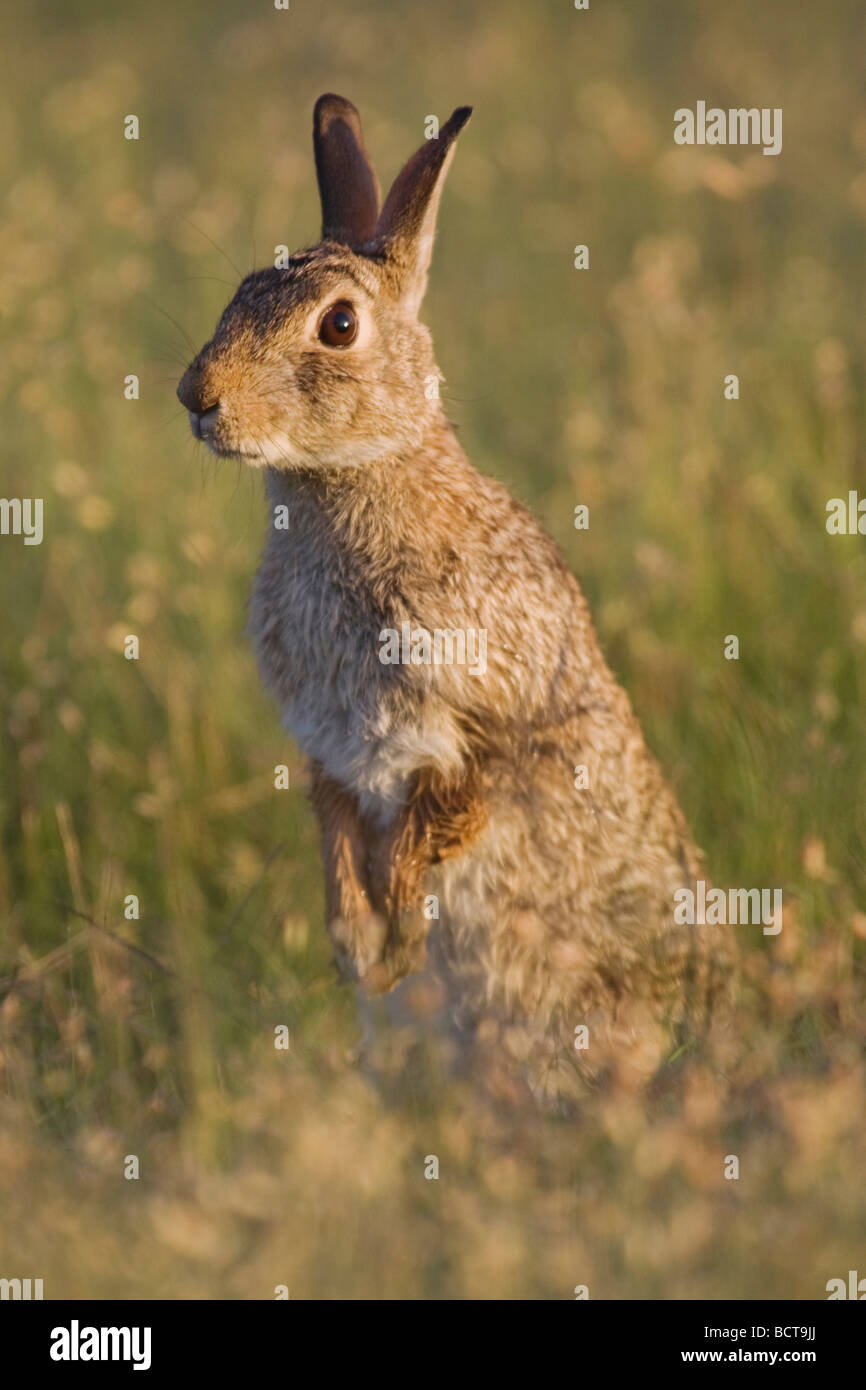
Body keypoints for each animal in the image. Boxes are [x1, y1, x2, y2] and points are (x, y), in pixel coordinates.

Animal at [177, 94, 735, 1099]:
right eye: (239, 291)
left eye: (339, 326)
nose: (195, 396)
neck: (354, 477)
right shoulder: (330, 751)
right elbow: (340, 836)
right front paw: (362, 951)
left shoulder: (470, 729)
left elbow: (435, 825)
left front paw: (394, 940)